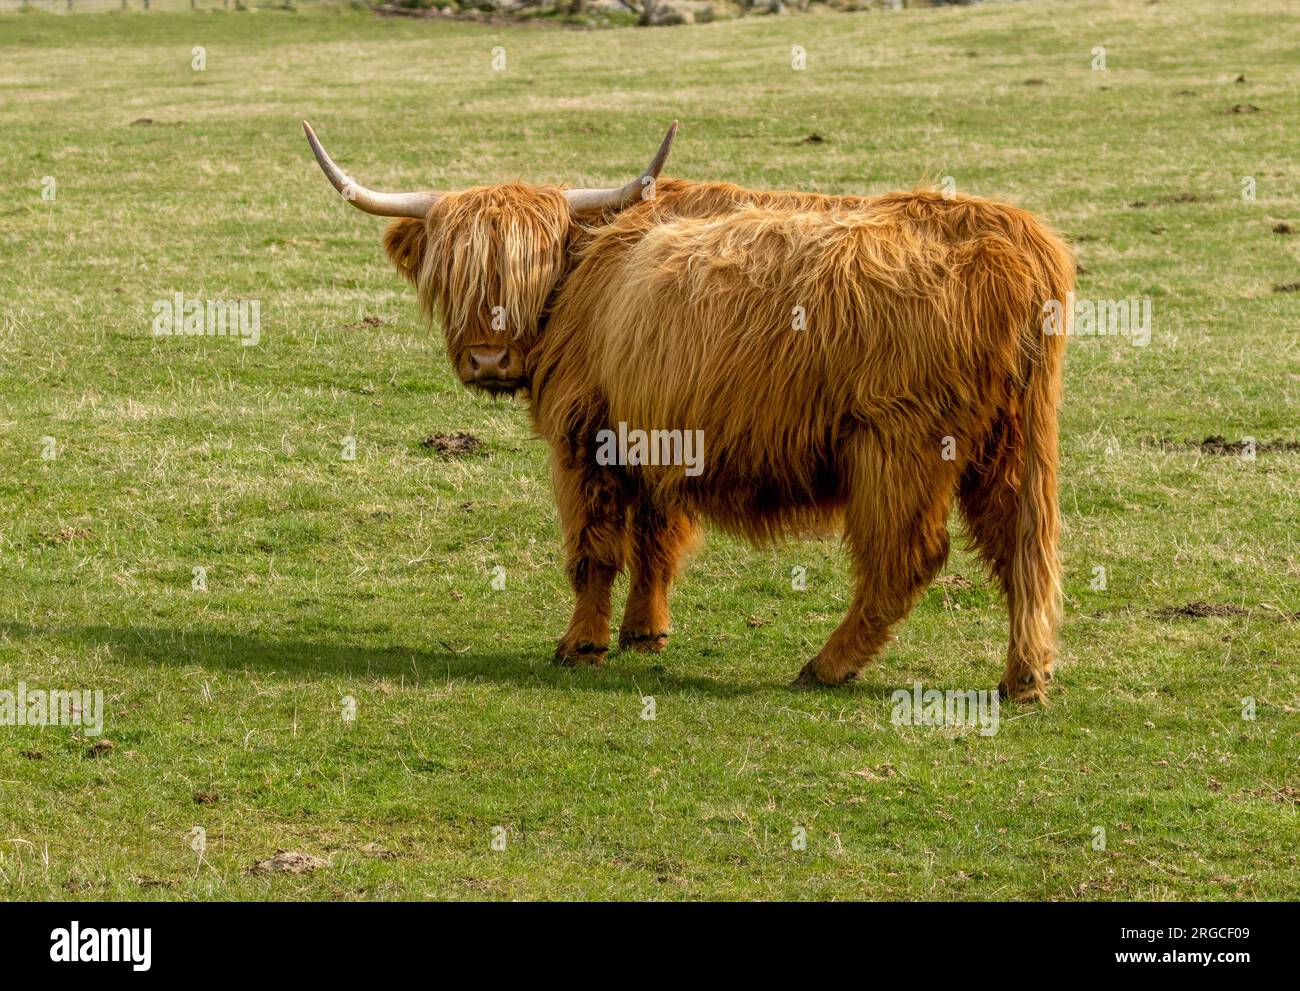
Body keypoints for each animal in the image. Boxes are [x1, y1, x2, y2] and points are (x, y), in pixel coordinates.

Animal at [303, 121, 1074, 702]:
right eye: (453, 273)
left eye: (524, 273)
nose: (490, 361)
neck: (583, 276)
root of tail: (1018, 241)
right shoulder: (659, 429)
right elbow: (656, 538)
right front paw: (645, 633)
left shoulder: (587, 433)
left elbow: (595, 547)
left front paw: (581, 645)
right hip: (1016, 437)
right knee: (1025, 545)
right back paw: (1025, 677)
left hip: (899, 438)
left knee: (907, 556)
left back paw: (826, 665)